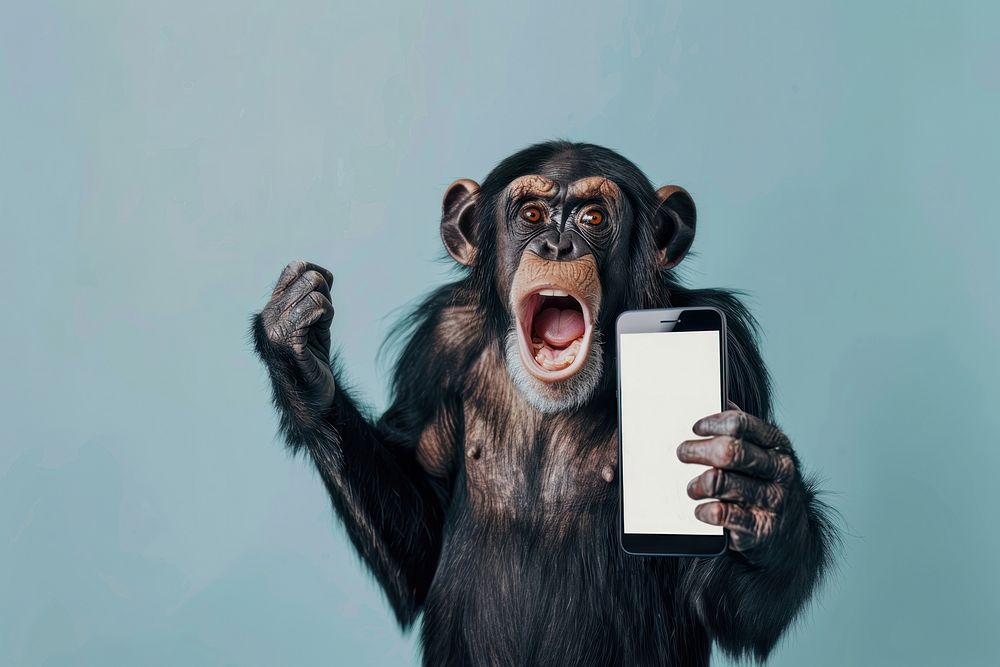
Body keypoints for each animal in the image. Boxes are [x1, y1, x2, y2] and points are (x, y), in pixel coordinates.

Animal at [251, 141, 838, 666]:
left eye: (594, 217)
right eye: (532, 214)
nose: (557, 246)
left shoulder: (731, 345)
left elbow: (728, 608)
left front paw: (762, 499)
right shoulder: (438, 343)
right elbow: (421, 548)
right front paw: (298, 352)